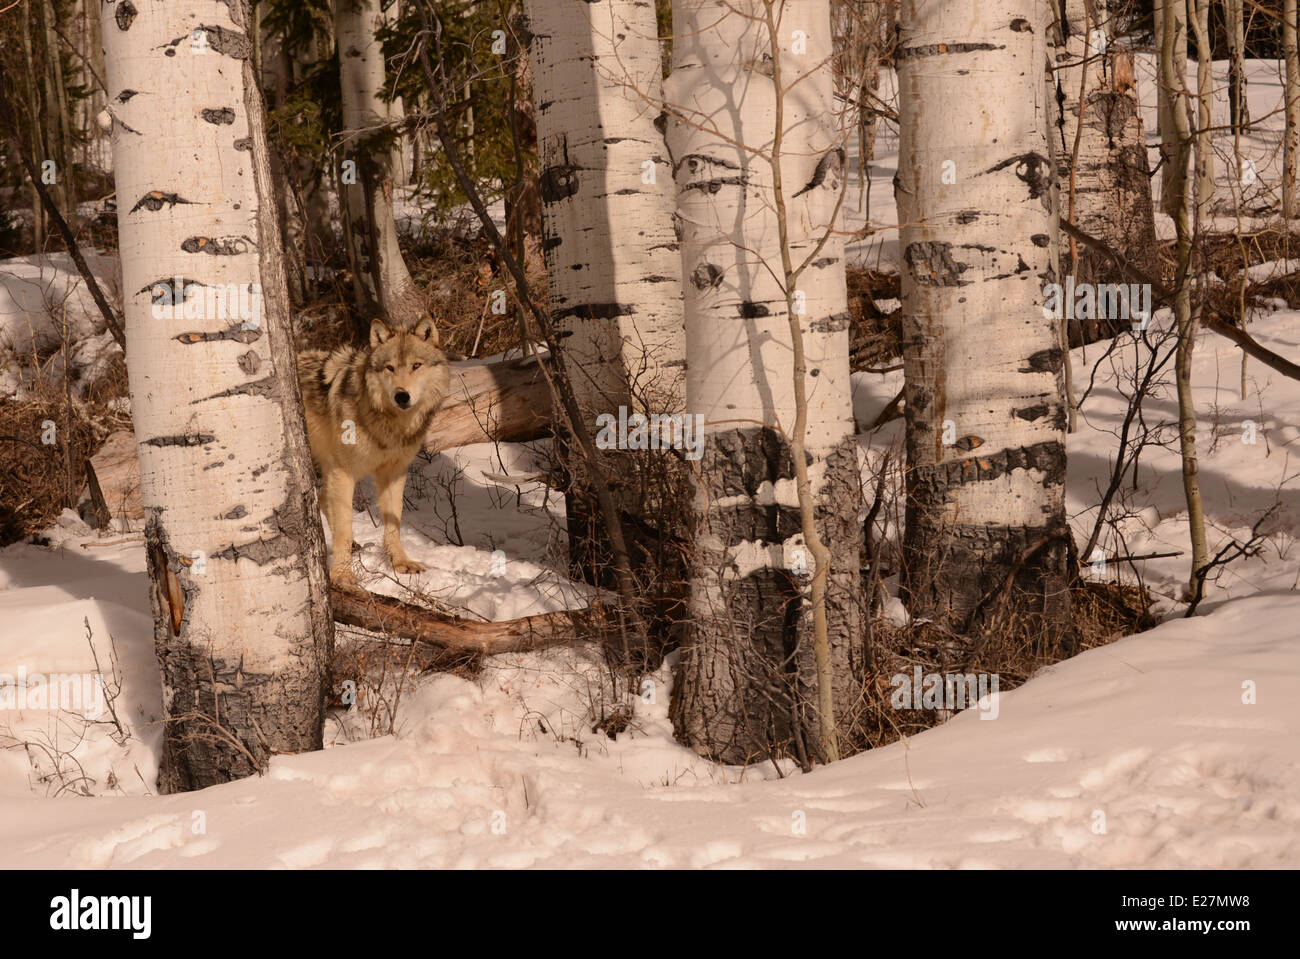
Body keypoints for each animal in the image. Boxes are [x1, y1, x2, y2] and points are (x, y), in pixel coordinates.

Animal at [298, 316, 451, 584]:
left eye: (416, 365)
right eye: (389, 368)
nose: (402, 396)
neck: (389, 425)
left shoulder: (395, 472)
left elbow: (394, 522)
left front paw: (400, 562)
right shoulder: (344, 472)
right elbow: (345, 527)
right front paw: (342, 574)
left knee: (324, 497)